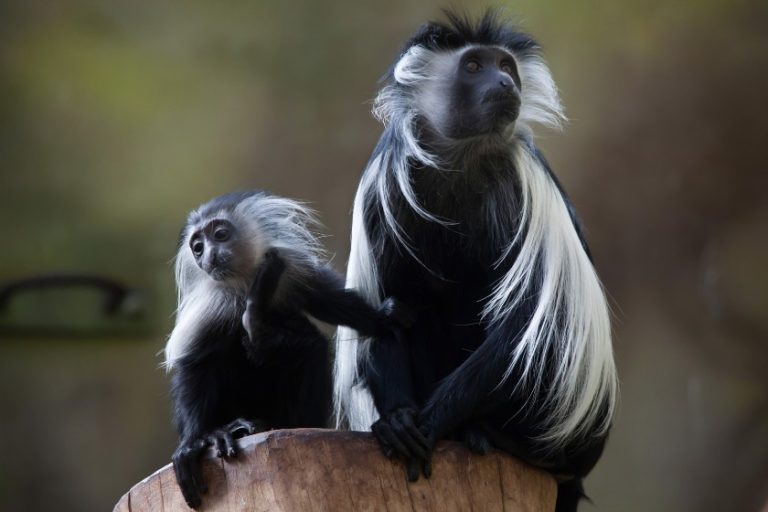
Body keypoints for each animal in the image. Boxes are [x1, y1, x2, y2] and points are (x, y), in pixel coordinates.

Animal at [165, 190, 409, 509]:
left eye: (219, 234)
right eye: (197, 247)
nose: (207, 255)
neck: (246, 284)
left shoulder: (290, 269)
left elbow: (333, 303)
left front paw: (385, 319)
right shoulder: (213, 304)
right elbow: (194, 364)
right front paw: (196, 441)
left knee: (310, 347)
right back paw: (232, 428)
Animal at [332, 11, 618, 511]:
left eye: (505, 65)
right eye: (473, 66)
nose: (504, 81)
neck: (459, 155)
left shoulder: (521, 181)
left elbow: (525, 323)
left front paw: (431, 422)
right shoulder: (383, 185)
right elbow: (385, 310)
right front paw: (399, 423)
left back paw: (494, 438)